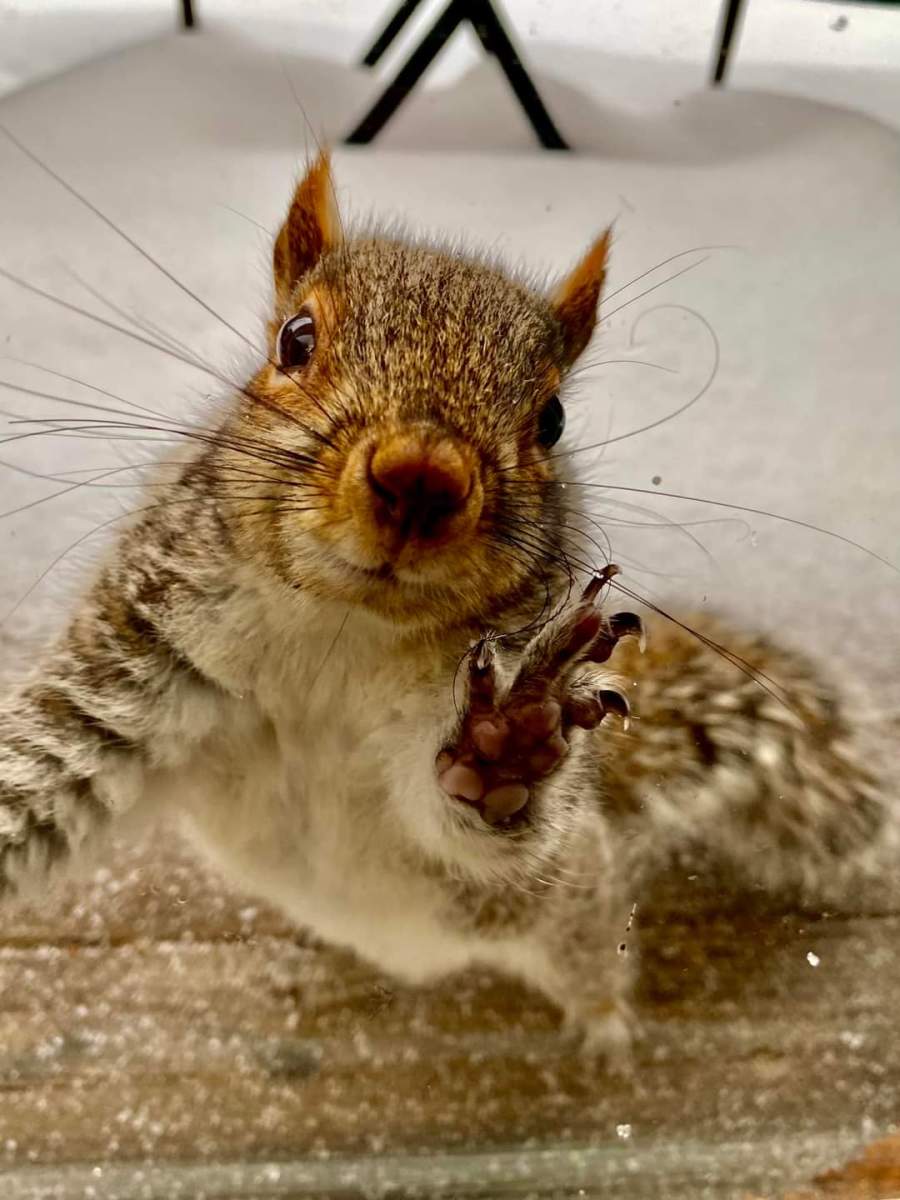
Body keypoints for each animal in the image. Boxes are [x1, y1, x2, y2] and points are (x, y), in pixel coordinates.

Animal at [0, 154, 889, 1064]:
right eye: (295, 340)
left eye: (552, 418)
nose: (422, 476)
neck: (341, 627)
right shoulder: (143, 650)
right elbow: (54, 769)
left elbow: (473, 820)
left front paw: (509, 741)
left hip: (567, 893)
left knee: (586, 934)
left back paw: (603, 1027)